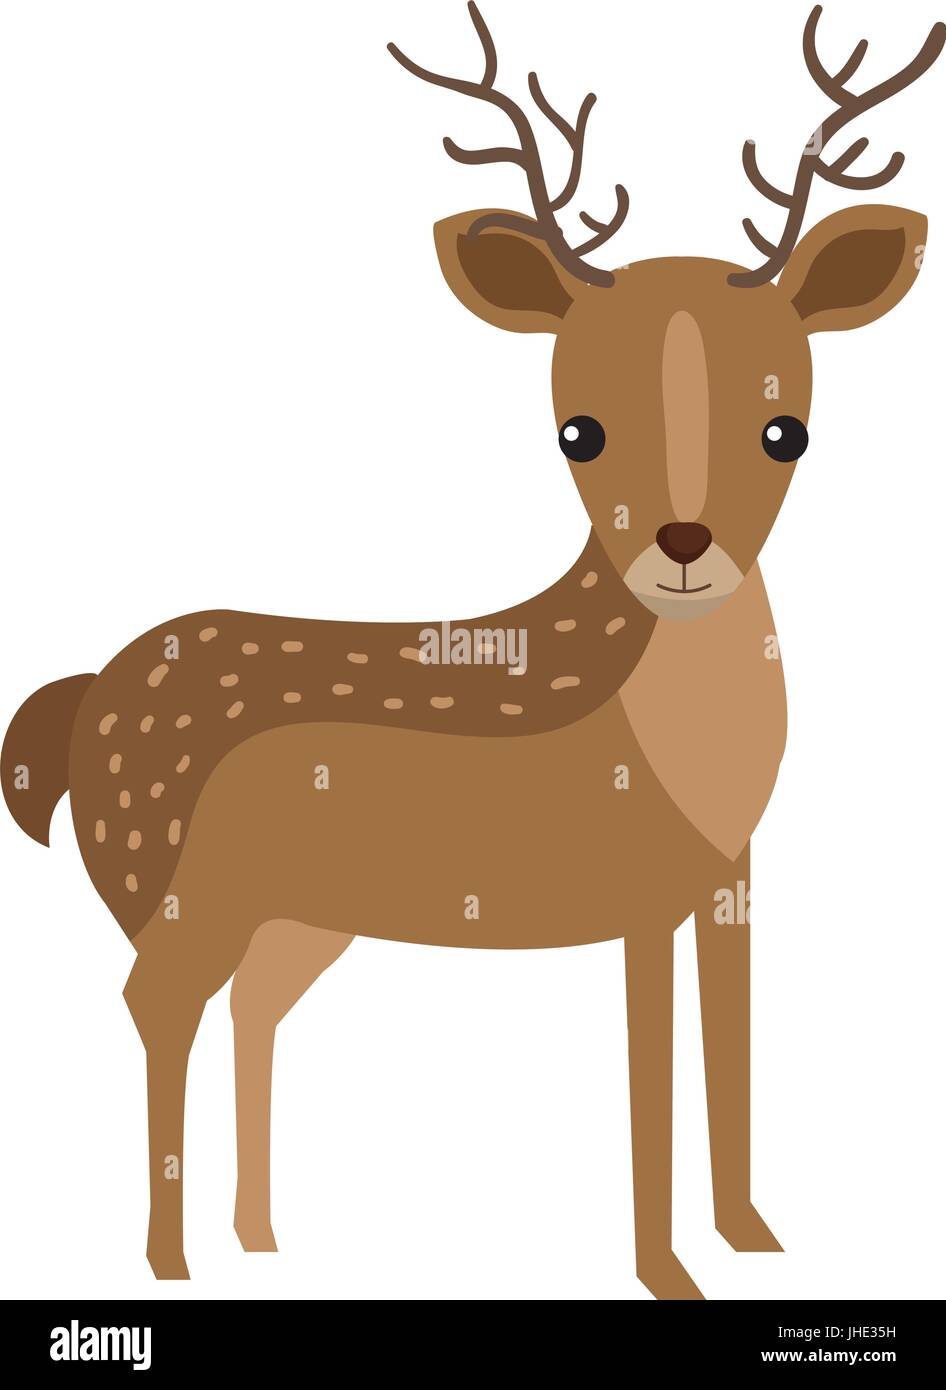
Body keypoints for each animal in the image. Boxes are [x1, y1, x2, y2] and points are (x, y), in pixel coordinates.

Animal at [2, 4, 942, 1299]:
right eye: (576, 430)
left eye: (785, 428)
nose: (682, 548)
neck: (684, 759)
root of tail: (85, 697)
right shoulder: (632, 891)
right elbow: (649, 1073)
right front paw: (670, 1274)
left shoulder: (732, 884)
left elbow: (732, 1051)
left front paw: (761, 1238)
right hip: (181, 891)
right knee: (155, 1000)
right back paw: (169, 1260)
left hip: (295, 920)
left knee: (253, 1009)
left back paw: (266, 1240)